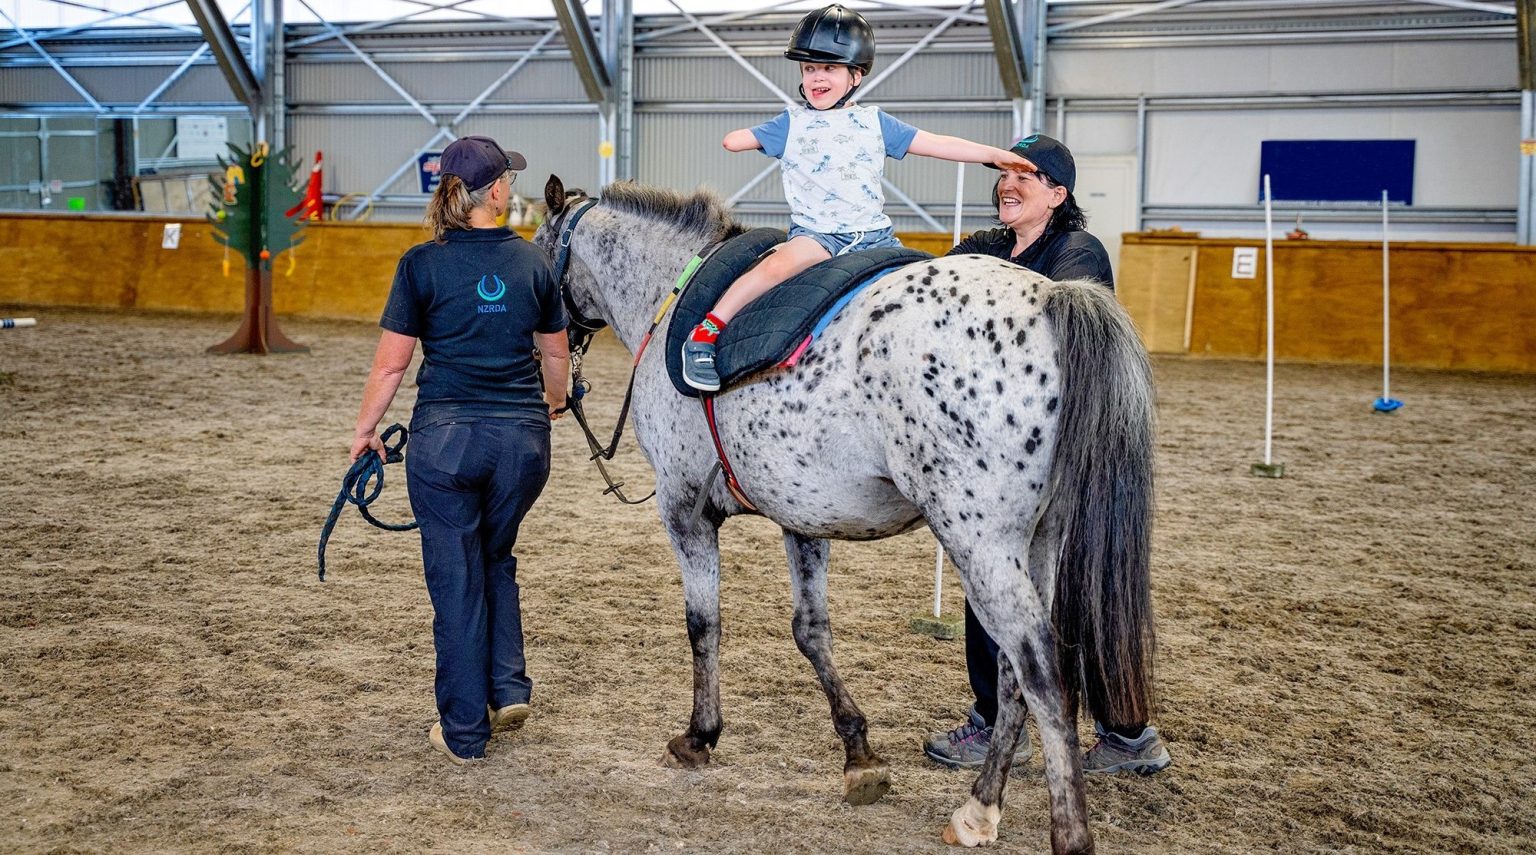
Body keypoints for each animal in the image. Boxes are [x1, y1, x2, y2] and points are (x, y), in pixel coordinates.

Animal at [534, 175, 1157, 853]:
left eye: (536, 253)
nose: (549, 370)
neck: (670, 294)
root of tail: (1052, 298)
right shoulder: (803, 518)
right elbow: (811, 630)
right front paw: (857, 751)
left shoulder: (683, 511)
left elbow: (703, 625)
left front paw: (700, 734)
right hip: (1038, 542)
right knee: (1013, 670)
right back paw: (979, 807)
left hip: (980, 543)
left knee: (1040, 668)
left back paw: (1063, 832)